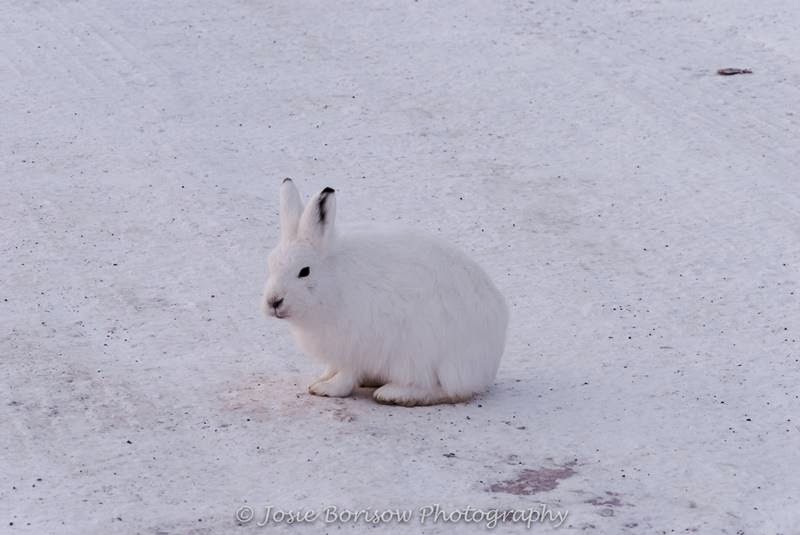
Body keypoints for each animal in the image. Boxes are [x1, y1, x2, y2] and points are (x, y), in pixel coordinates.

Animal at [262, 178, 508, 406]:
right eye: (270, 262)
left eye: (305, 271)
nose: (273, 301)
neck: (332, 283)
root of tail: (488, 362)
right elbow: (333, 367)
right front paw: (321, 379)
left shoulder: (357, 344)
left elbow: (347, 374)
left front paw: (327, 389)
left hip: (420, 354)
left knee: (443, 389)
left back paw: (393, 394)